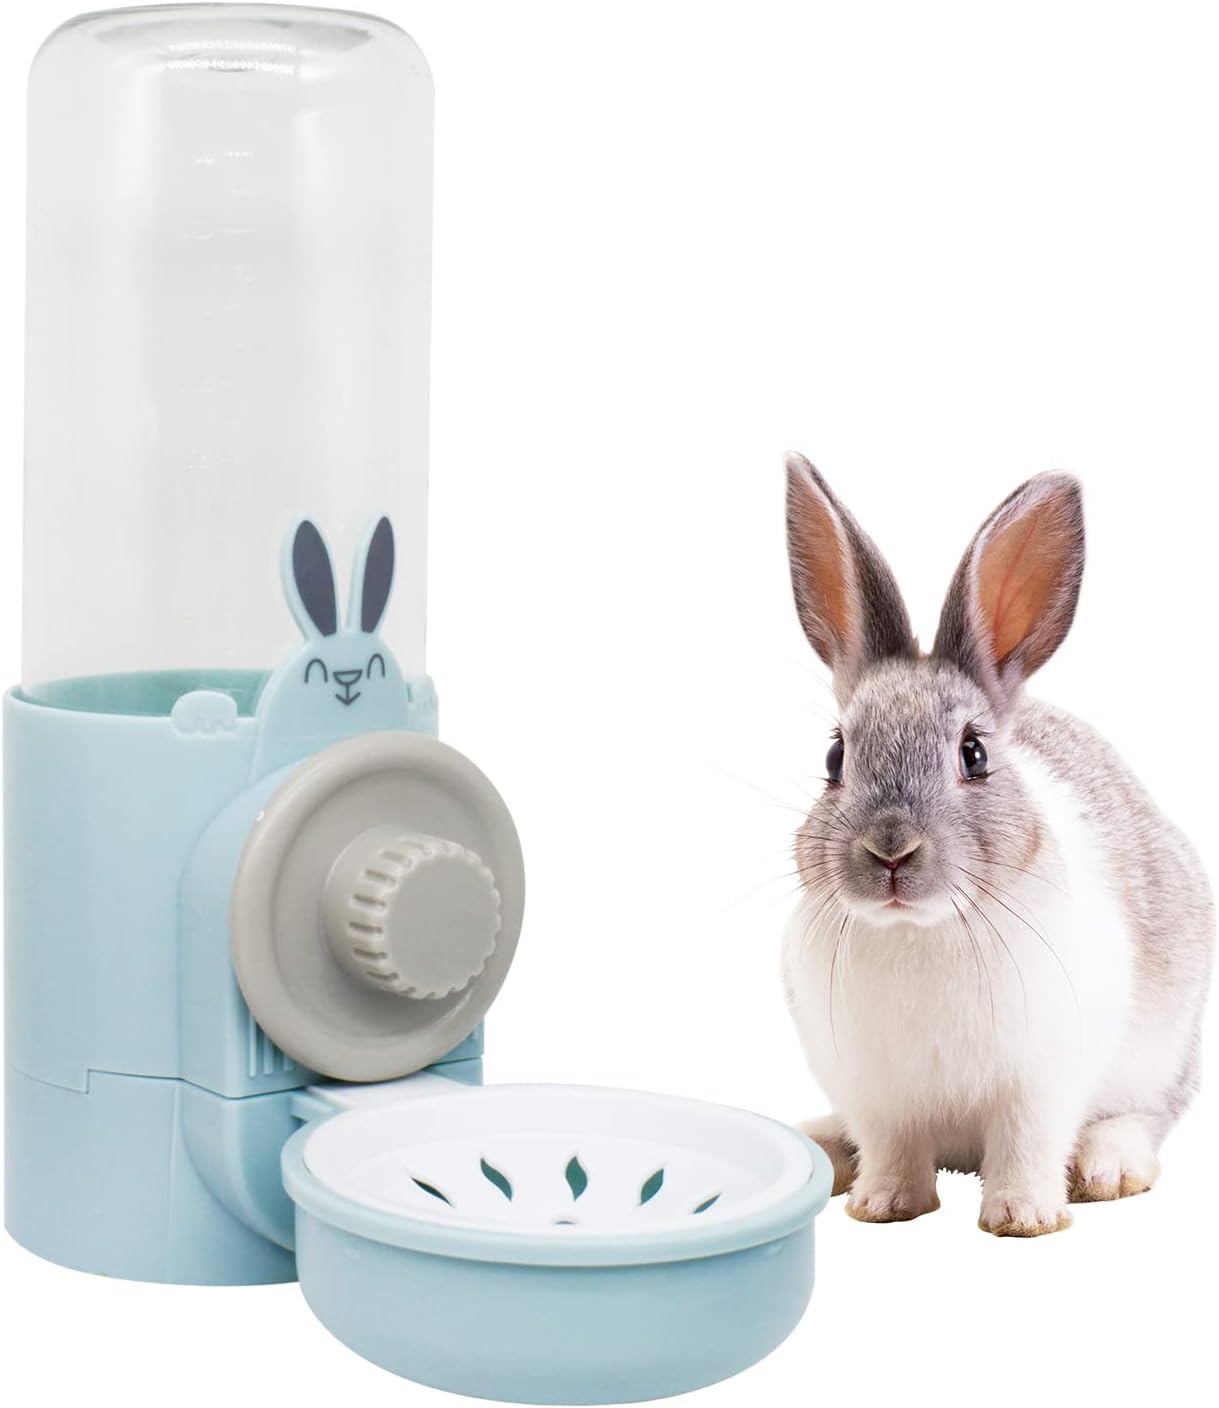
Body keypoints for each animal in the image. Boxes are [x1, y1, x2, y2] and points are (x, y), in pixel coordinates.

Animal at [780, 456, 1214, 1236]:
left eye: (974, 754)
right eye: (835, 757)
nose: (891, 851)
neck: (918, 931)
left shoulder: (1039, 1084)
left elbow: (1024, 1145)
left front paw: (1023, 1217)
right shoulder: (875, 1092)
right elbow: (892, 1148)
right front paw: (884, 1205)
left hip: (1163, 1055)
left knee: (1145, 1115)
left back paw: (1109, 1167)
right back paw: (824, 1149)